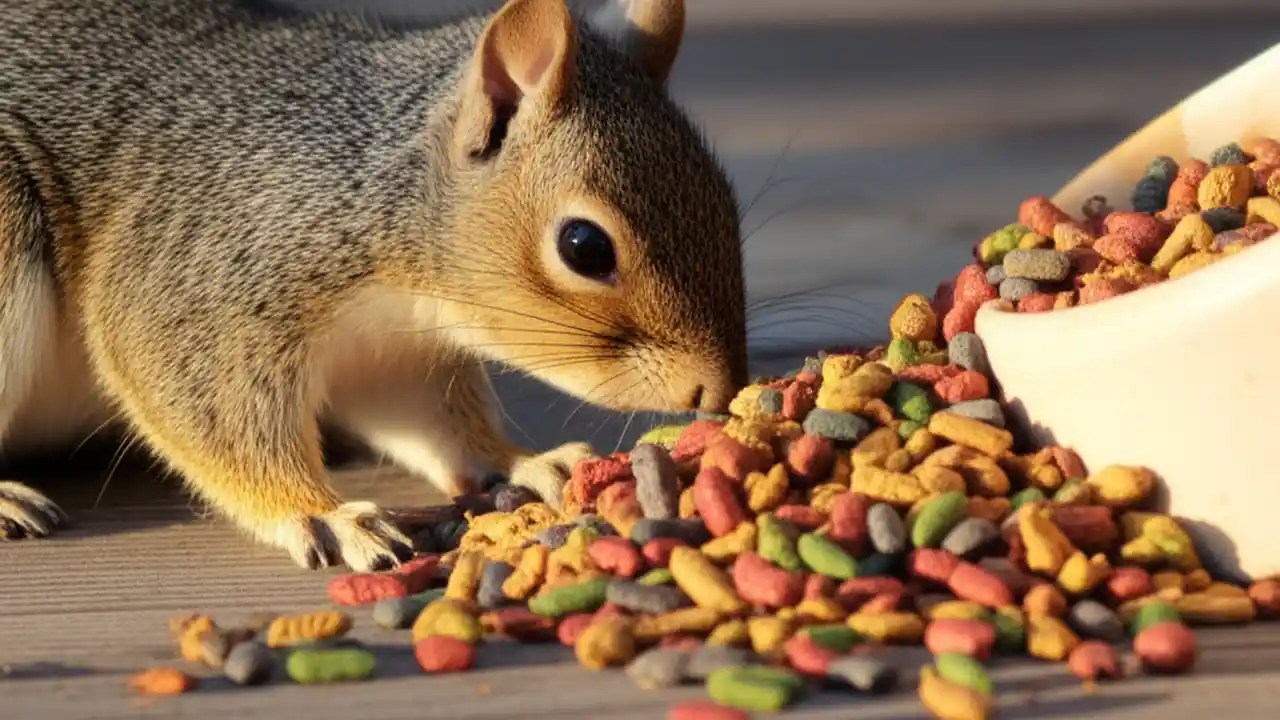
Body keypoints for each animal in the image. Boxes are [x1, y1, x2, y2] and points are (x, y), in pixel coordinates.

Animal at [0, 0, 747, 570]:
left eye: (725, 198)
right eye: (584, 246)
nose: (720, 392)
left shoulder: (392, 354)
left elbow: (429, 420)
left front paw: (523, 463)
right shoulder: (201, 277)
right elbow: (216, 417)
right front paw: (324, 515)